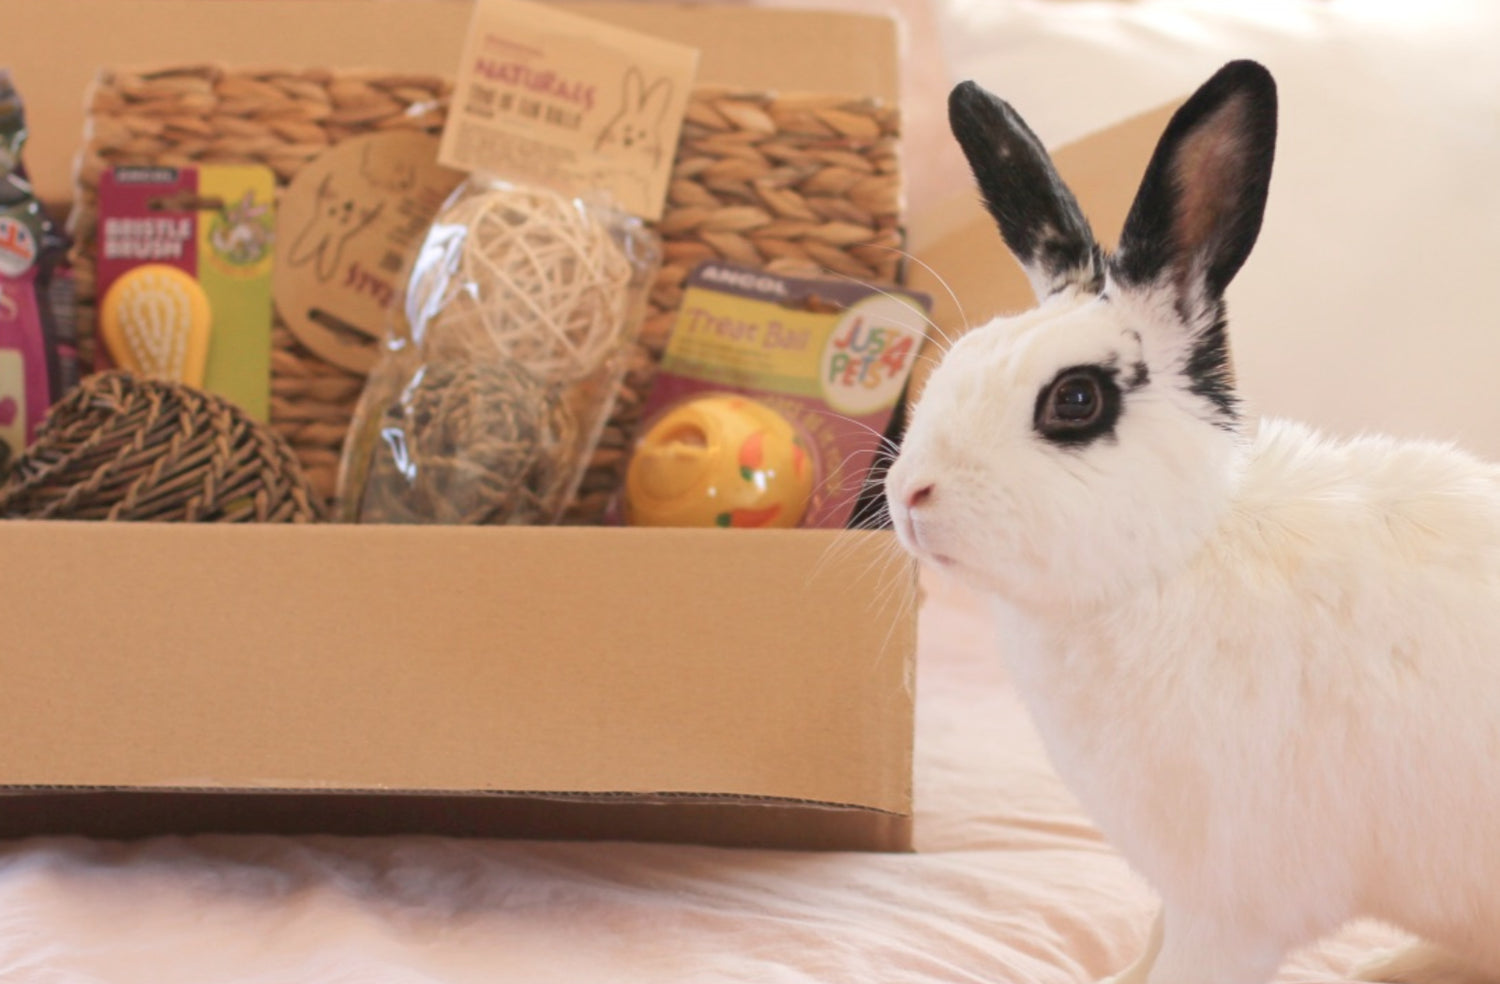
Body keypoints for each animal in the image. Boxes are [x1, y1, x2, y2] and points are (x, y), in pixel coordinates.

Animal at [885, 59, 1500, 984]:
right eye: (959, 358)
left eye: (1075, 400)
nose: (909, 493)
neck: (1174, 559)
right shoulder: (1181, 895)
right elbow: (1146, 953)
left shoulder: (1232, 905)